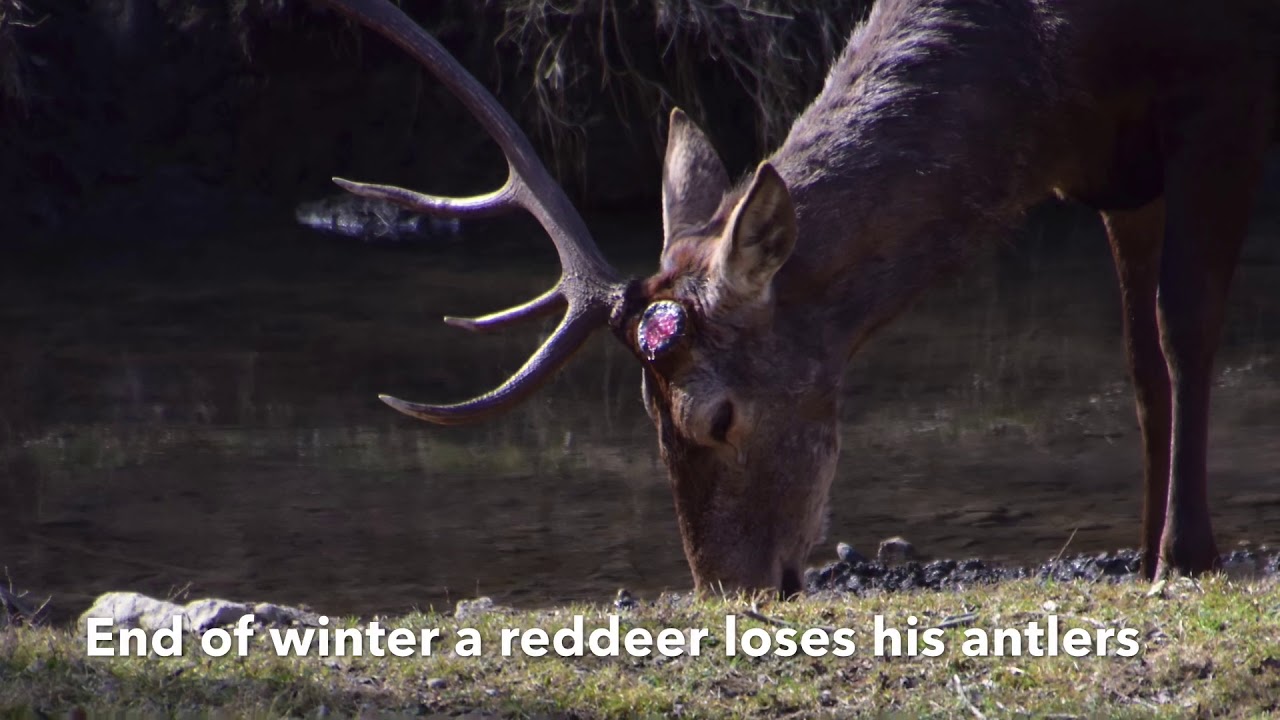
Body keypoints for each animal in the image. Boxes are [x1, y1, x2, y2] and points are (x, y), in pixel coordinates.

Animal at [315, 0, 1279, 597]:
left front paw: (1186, 557)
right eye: (646, 417)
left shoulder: (1223, 90)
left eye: (717, 414)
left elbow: (1186, 328)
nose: (725, 592)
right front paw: (1146, 551)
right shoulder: (1115, 176)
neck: (1057, 64)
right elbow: (1140, 366)